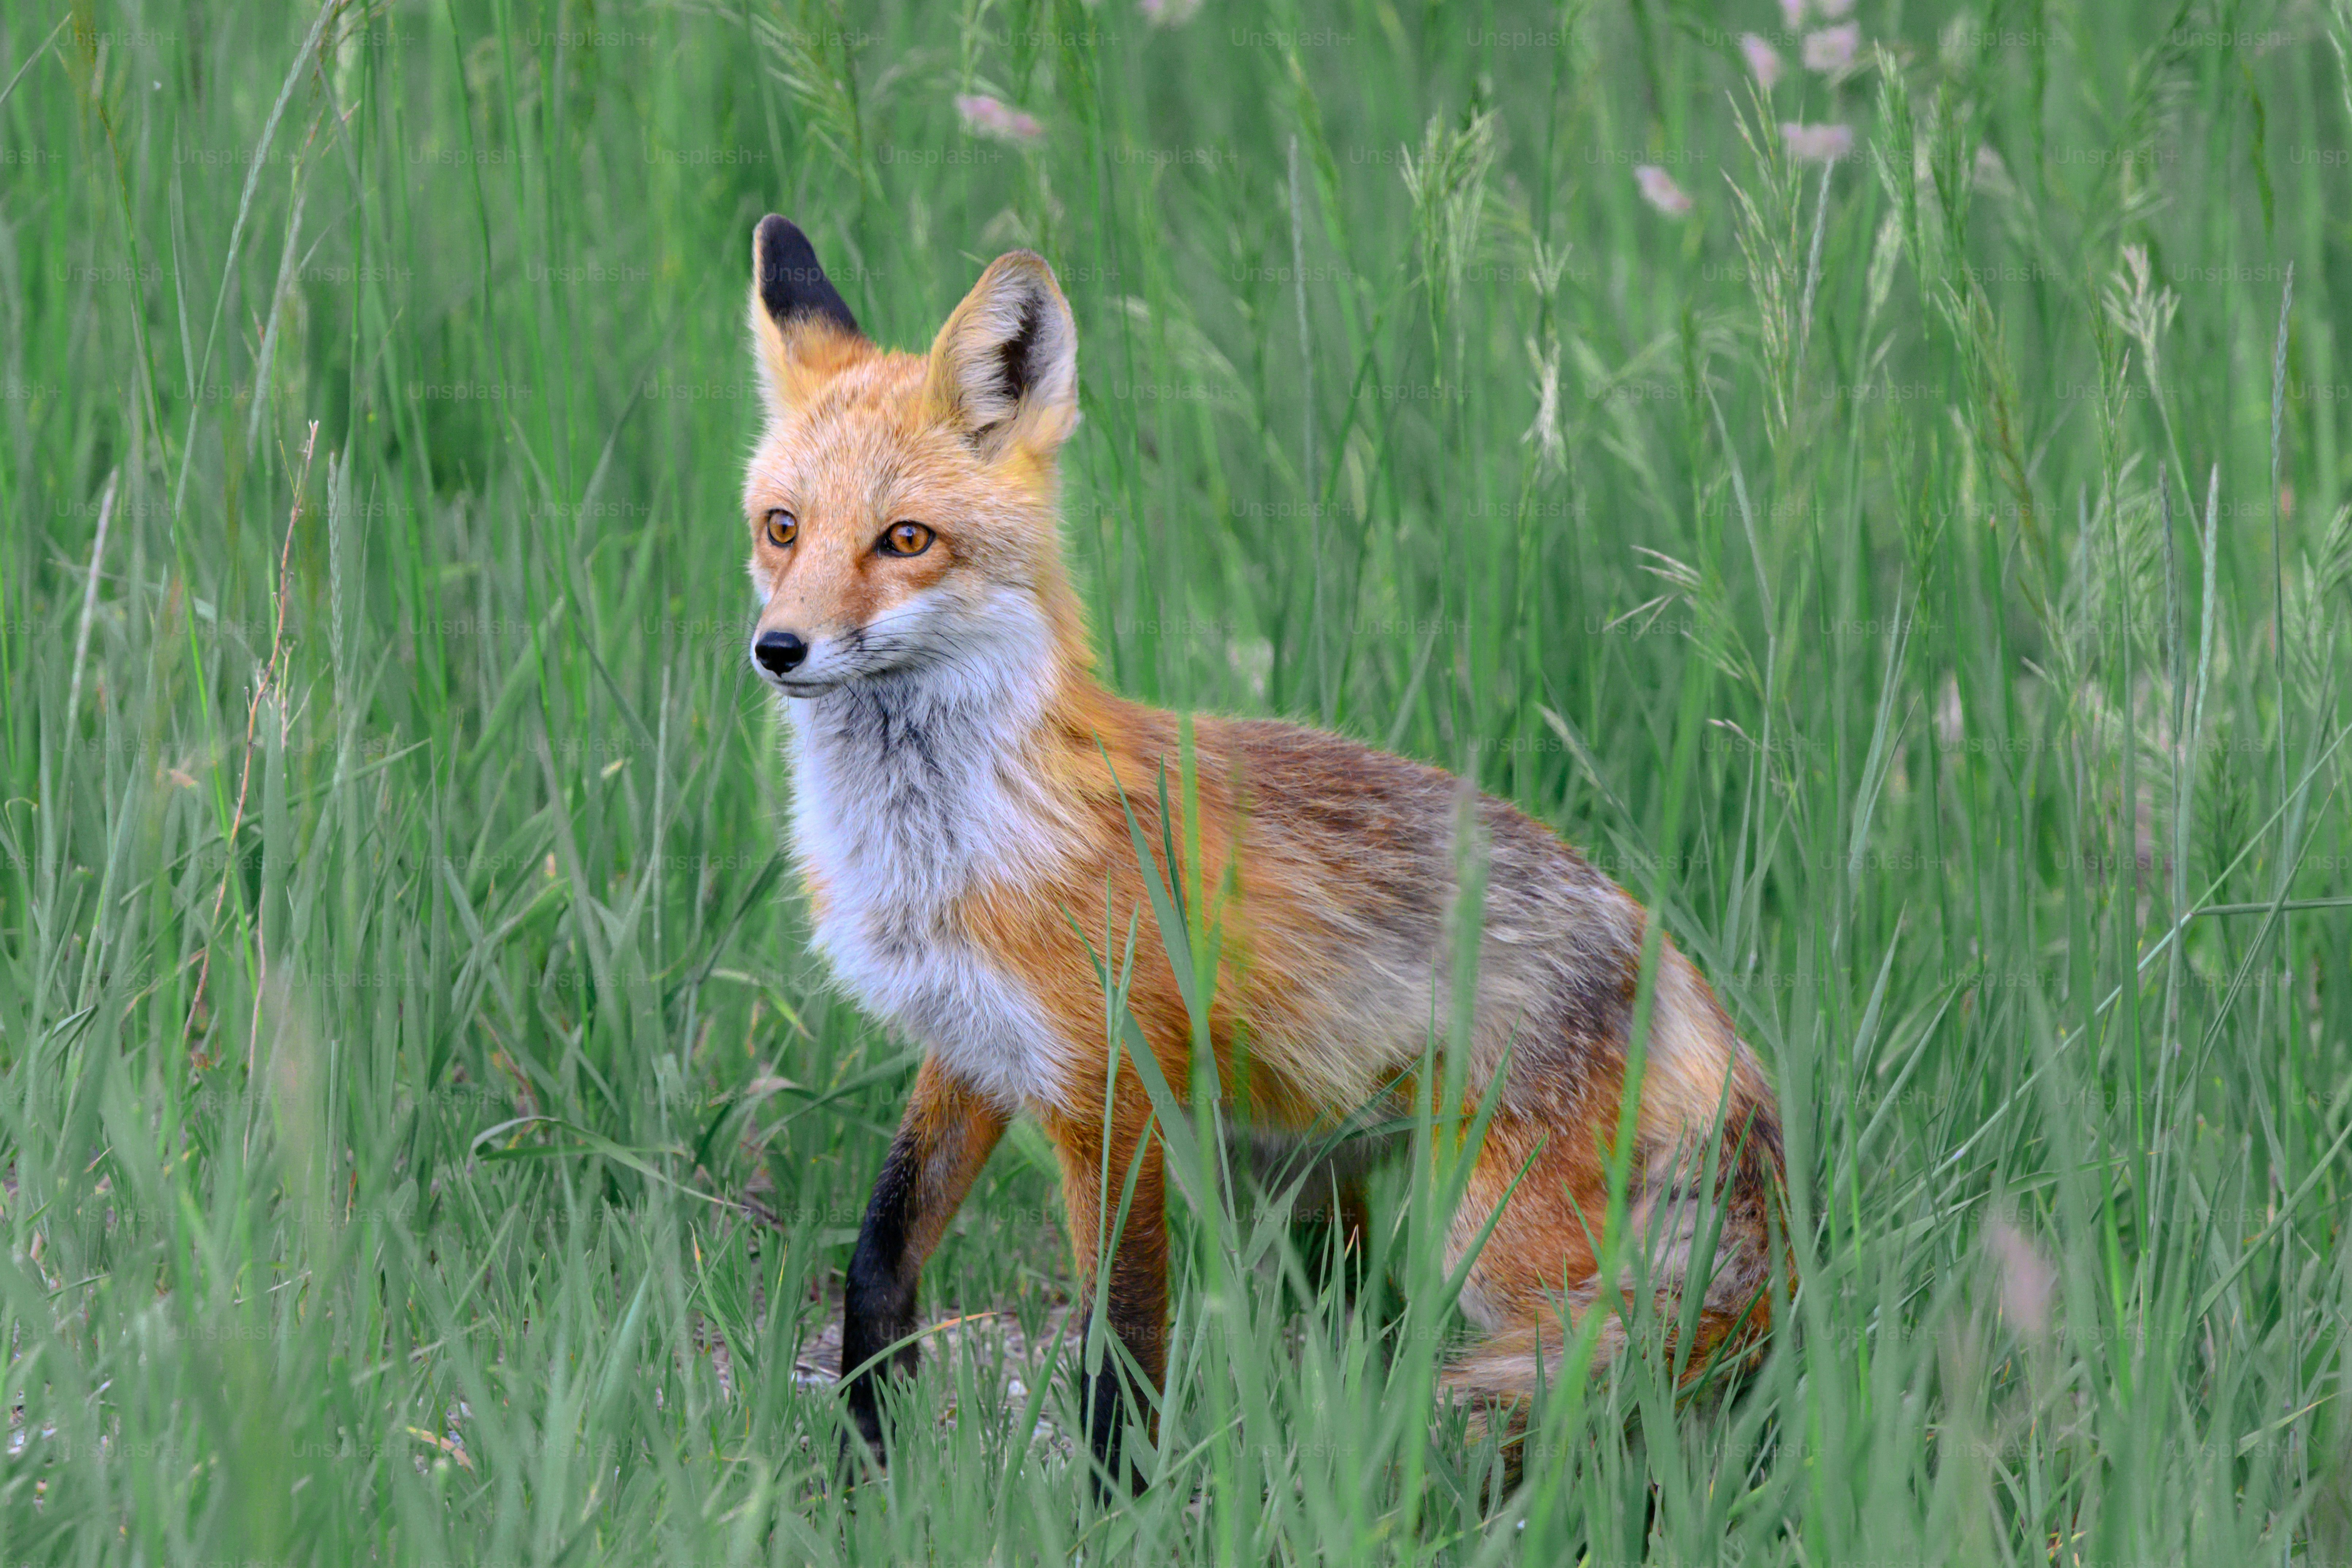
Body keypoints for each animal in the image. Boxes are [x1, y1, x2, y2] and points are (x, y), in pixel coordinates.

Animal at [737, 214, 1786, 1490]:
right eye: (783, 528)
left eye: (904, 541)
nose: (779, 647)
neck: (947, 848)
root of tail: (1678, 974)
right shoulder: (974, 1052)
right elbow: (879, 1267)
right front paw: (865, 1479)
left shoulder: (1114, 1094)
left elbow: (1121, 1344)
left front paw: (1115, 1505)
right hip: (1308, 1198)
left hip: (1497, 1253)